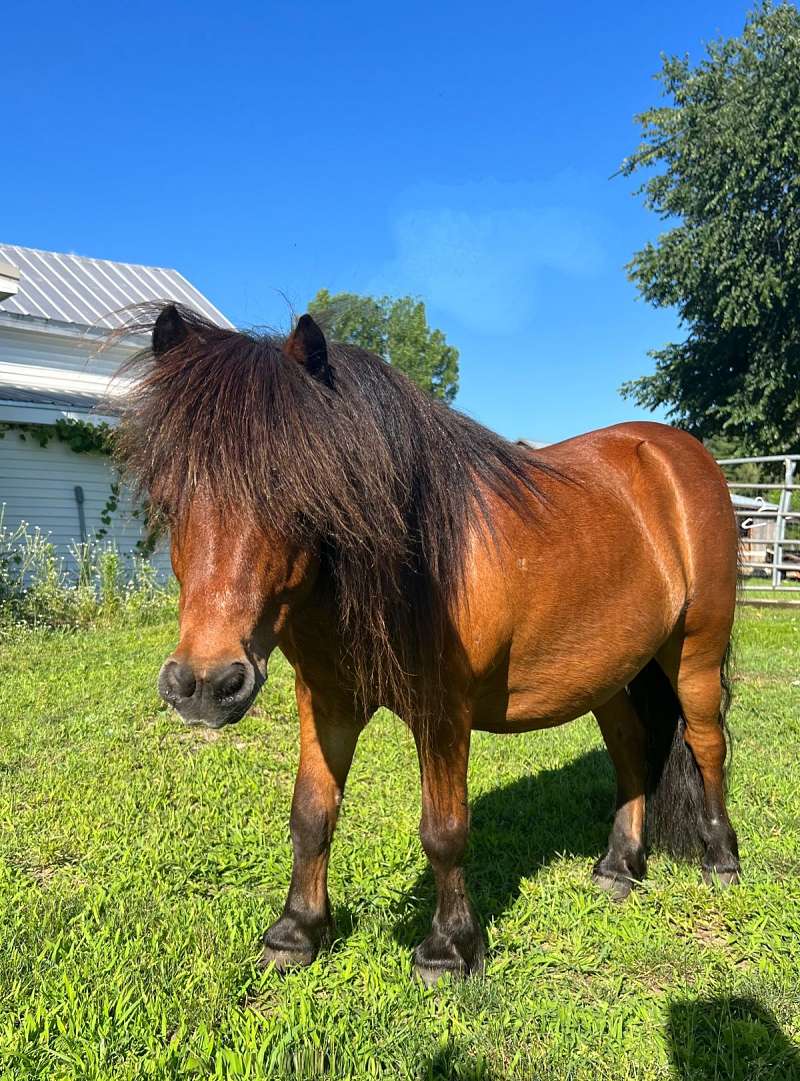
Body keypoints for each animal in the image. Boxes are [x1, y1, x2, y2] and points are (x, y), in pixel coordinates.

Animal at [116, 304, 740, 986]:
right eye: (169, 496)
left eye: (298, 493)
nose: (204, 685)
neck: (409, 561)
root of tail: (675, 453)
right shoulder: (327, 702)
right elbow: (311, 815)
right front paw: (296, 932)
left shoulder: (443, 713)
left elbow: (444, 830)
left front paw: (449, 948)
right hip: (610, 670)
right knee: (631, 750)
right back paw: (619, 867)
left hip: (695, 653)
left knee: (706, 743)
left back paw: (720, 859)